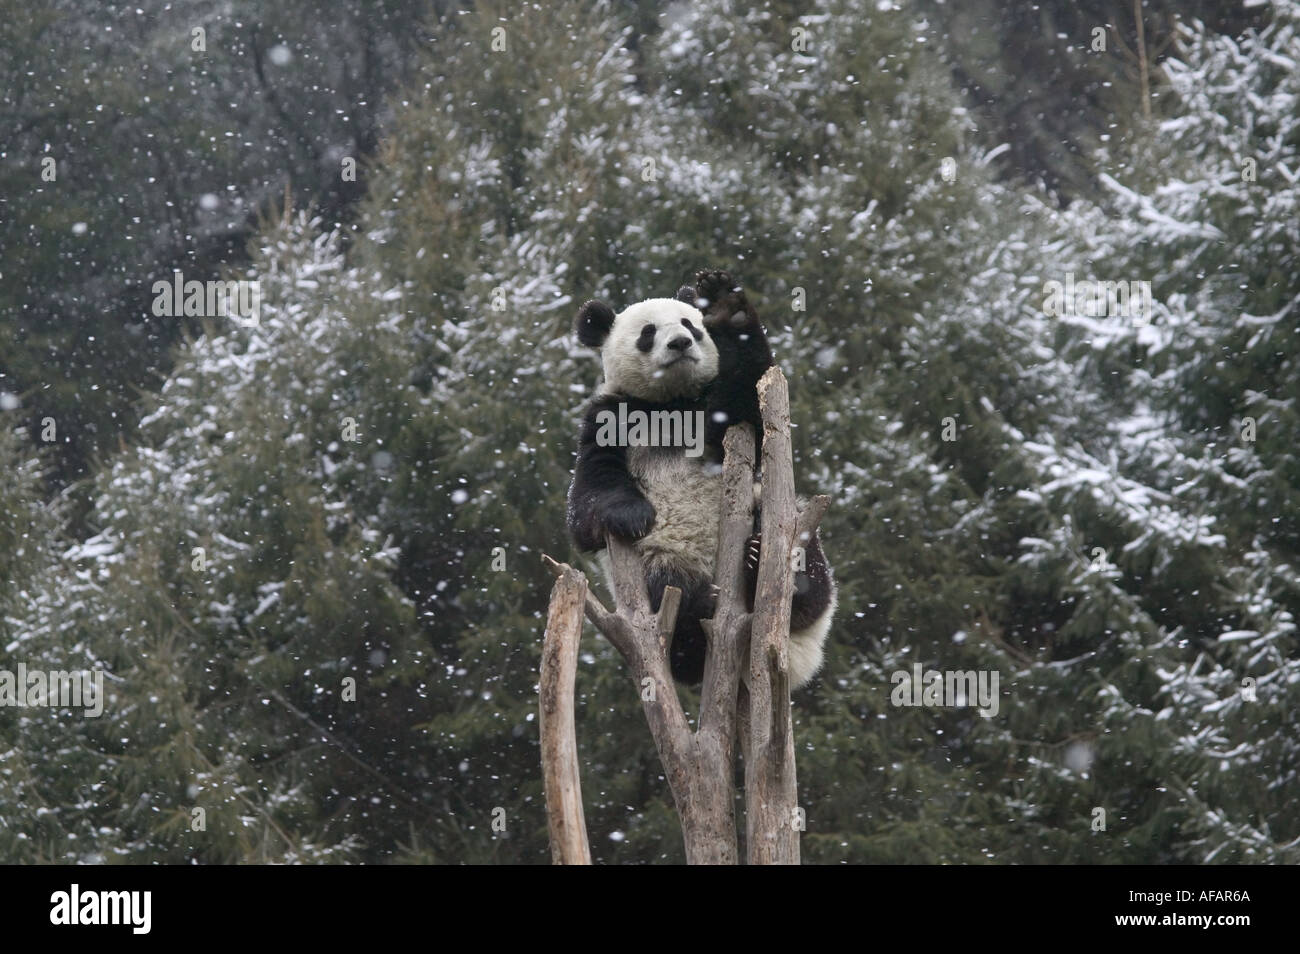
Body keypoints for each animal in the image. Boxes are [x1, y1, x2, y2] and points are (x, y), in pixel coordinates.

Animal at [566, 269, 836, 688]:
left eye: (689, 324)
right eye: (648, 332)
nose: (680, 342)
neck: (669, 402)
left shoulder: (716, 410)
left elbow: (750, 404)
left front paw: (726, 305)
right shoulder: (608, 417)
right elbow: (589, 499)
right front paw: (630, 515)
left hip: (781, 518)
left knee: (810, 570)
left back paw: (765, 566)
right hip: (663, 566)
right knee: (672, 608)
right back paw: (701, 612)